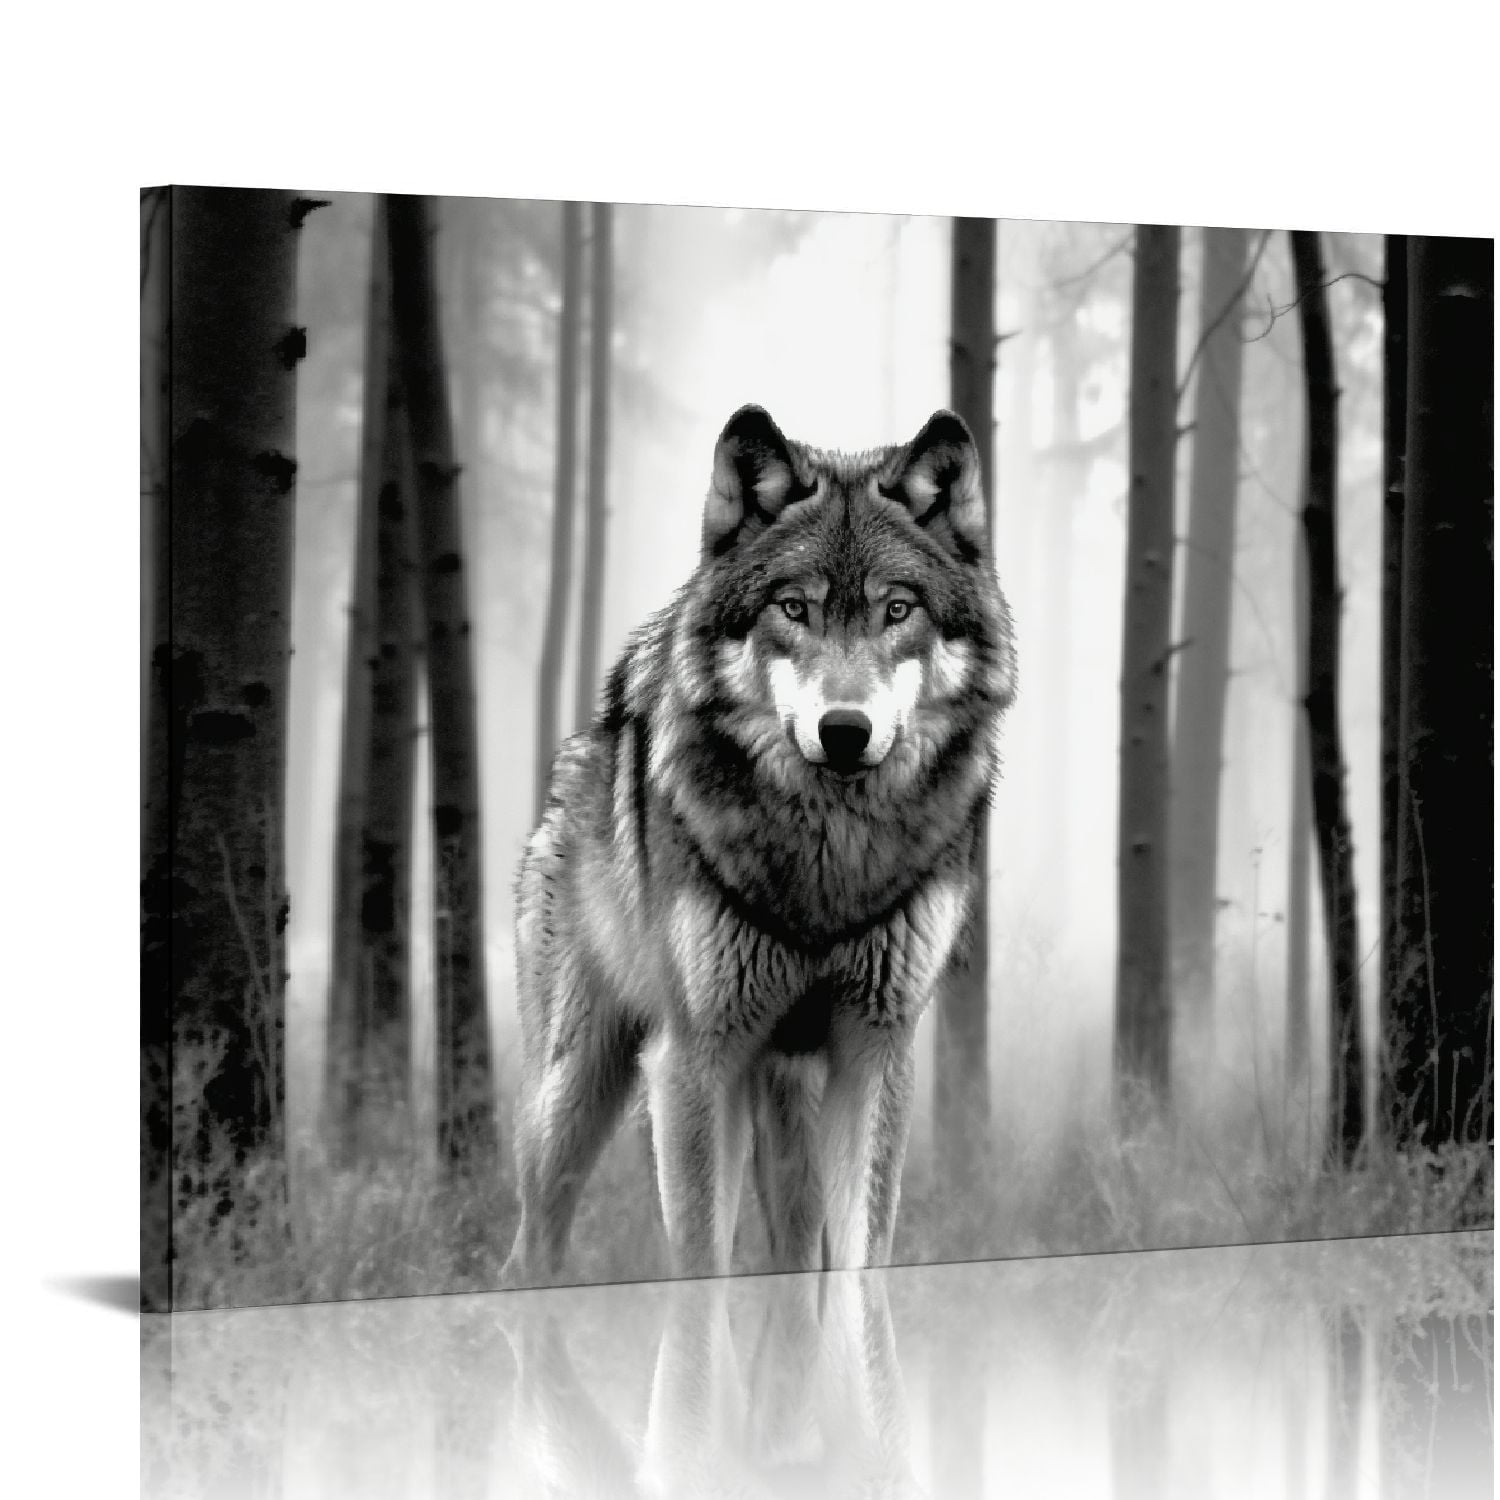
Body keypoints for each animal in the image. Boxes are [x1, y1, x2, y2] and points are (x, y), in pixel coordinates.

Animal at [503, 405, 1016, 1284]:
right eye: (794, 608)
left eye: (898, 610)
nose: (845, 731)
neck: (827, 865)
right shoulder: (695, 1059)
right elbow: (701, 1278)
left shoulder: (876, 1052)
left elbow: (858, 1273)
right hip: (575, 1095)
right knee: (532, 1245)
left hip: (787, 1095)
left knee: (796, 1272)